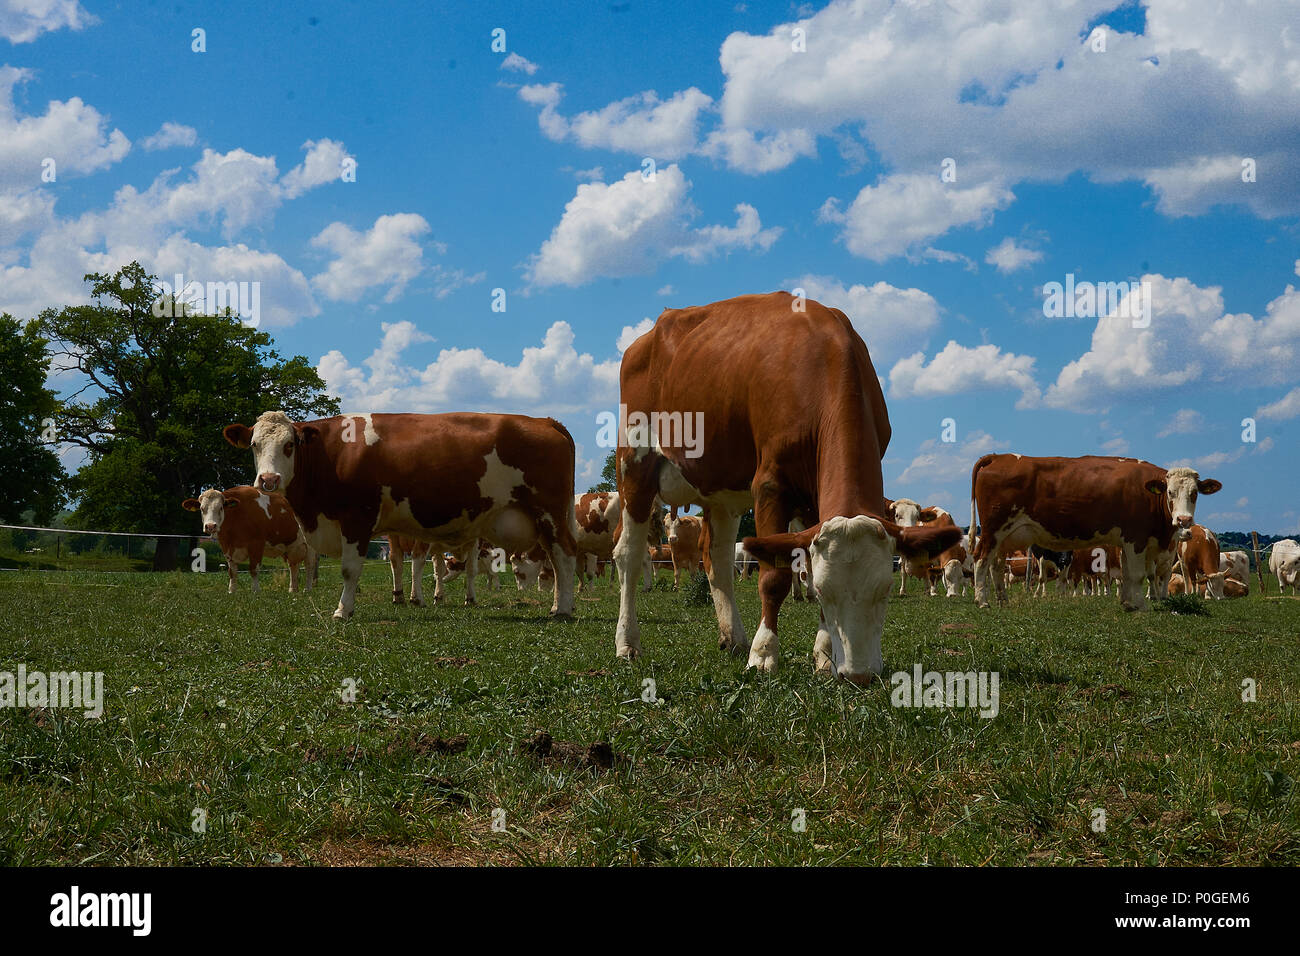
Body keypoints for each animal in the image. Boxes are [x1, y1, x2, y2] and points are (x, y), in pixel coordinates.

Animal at [182, 487, 316, 594]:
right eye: (202, 508)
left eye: (220, 508)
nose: (210, 526)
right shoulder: (227, 547)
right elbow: (232, 571)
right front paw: (232, 591)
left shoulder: (256, 544)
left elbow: (253, 569)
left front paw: (255, 591)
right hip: (291, 547)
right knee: (293, 566)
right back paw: (293, 590)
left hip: (310, 547)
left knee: (309, 566)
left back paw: (307, 589)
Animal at [223, 411, 578, 620]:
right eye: (254, 445)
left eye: (289, 445)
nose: (268, 480)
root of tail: (545, 421)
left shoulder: (358, 517)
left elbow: (350, 570)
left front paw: (343, 610)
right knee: (555, 560)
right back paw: (559, 604)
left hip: (550, 513)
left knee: (564, 556)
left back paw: (562, 609)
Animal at [612, 291, 961, 682]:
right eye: (822, 591)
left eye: (885, 589)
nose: (858, 674)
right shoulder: (770, 485)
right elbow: (773, 576)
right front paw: (763, 654)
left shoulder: (812, 502)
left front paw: (823, 655)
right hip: (633, 464)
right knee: (628, 555)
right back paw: (627, 643)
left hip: (721, 491)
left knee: (717, 559)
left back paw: (733, 637)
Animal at [969, 456, 1220, 611]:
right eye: (1170, 492)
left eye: (1195, 493)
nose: (1183, 520)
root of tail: (998, 456)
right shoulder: (1136, 539)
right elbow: (1137, 575)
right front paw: (1140, 605)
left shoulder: (1127, 542)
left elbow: (1127, 574)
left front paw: (1127, 602)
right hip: (993, 530)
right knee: (981, 560)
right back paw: (982, 600)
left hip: (1004, 538)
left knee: (996, 566)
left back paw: (1002, 599)